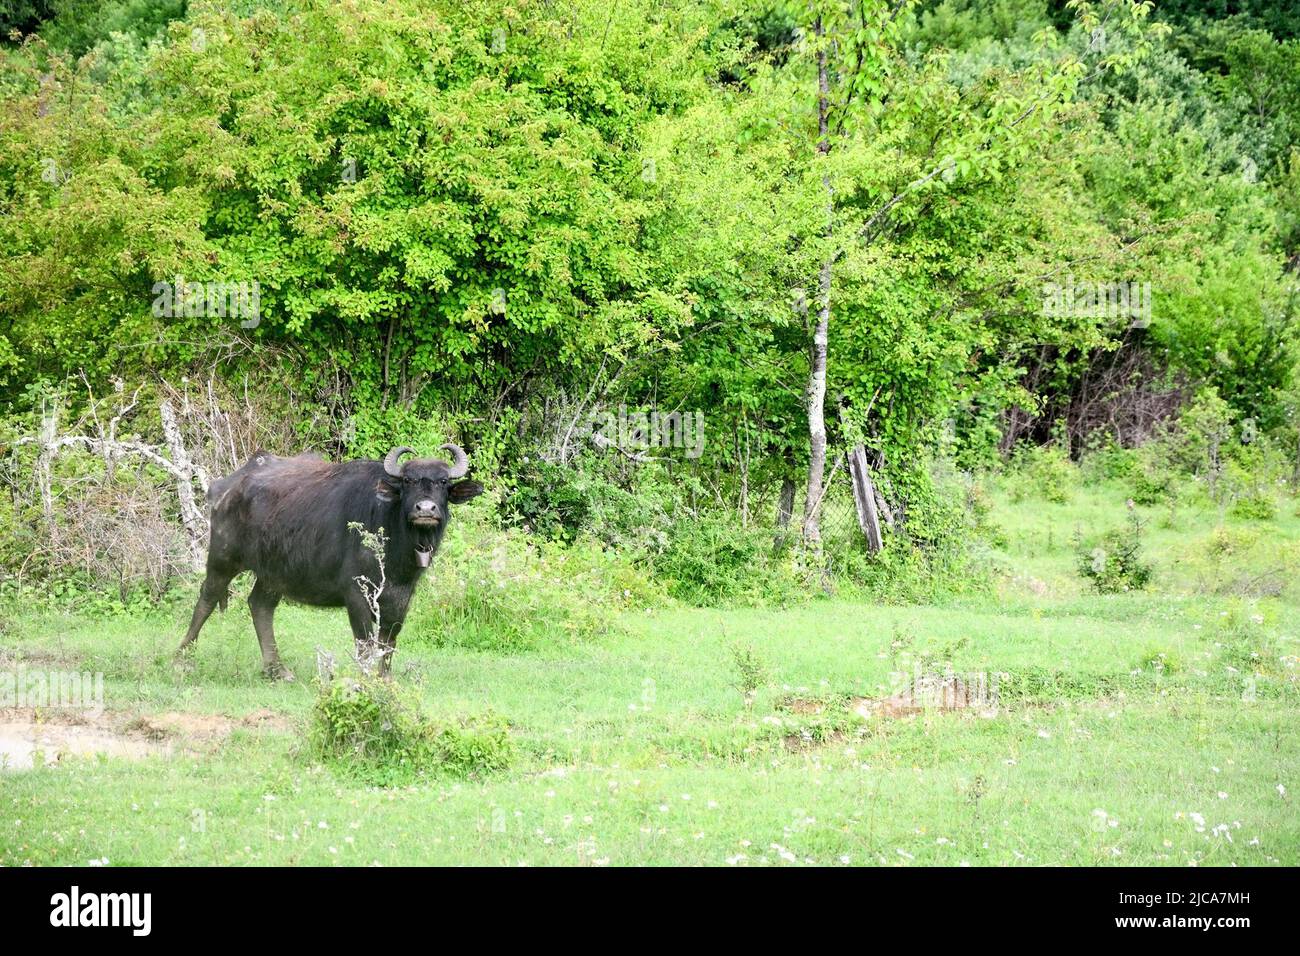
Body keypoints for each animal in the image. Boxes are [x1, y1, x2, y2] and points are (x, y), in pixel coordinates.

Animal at [176, 444, 484, 679]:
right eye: (408, 481)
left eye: (443, 482)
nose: (425, 509)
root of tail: (225, 487)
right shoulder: (356, 593)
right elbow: (365, 643)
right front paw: (365, 677)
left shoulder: (401, 596)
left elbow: (388, 642)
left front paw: (384, 678)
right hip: (223, 556)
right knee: (207, 598)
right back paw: (182, 659)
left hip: (274, 572)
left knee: (260, 606)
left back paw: (277, 669)